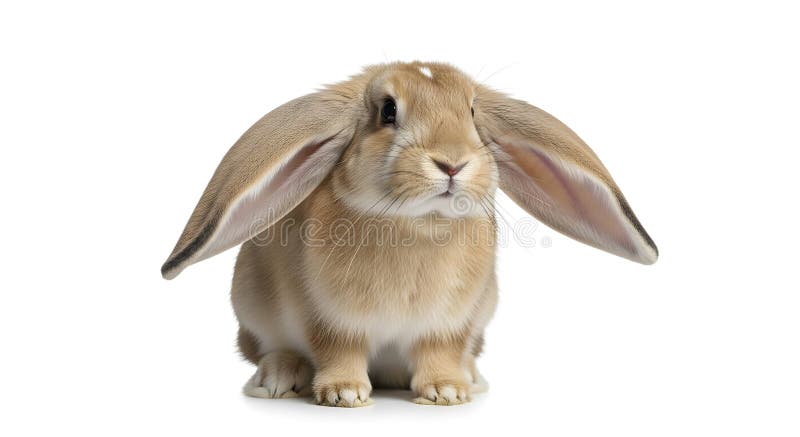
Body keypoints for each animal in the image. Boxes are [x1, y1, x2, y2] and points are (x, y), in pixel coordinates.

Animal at [161, 61, 658, 407]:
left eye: (472, 111)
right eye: (388, 110)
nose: (453, 162)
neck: (418, 223)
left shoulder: (449, 323)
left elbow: (440, 352)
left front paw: (447, 392)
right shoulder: (330, 318)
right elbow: (339, 350)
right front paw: (343, 394)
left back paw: (470, 377)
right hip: (251, 304)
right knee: (265, 348)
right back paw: (279, 378)